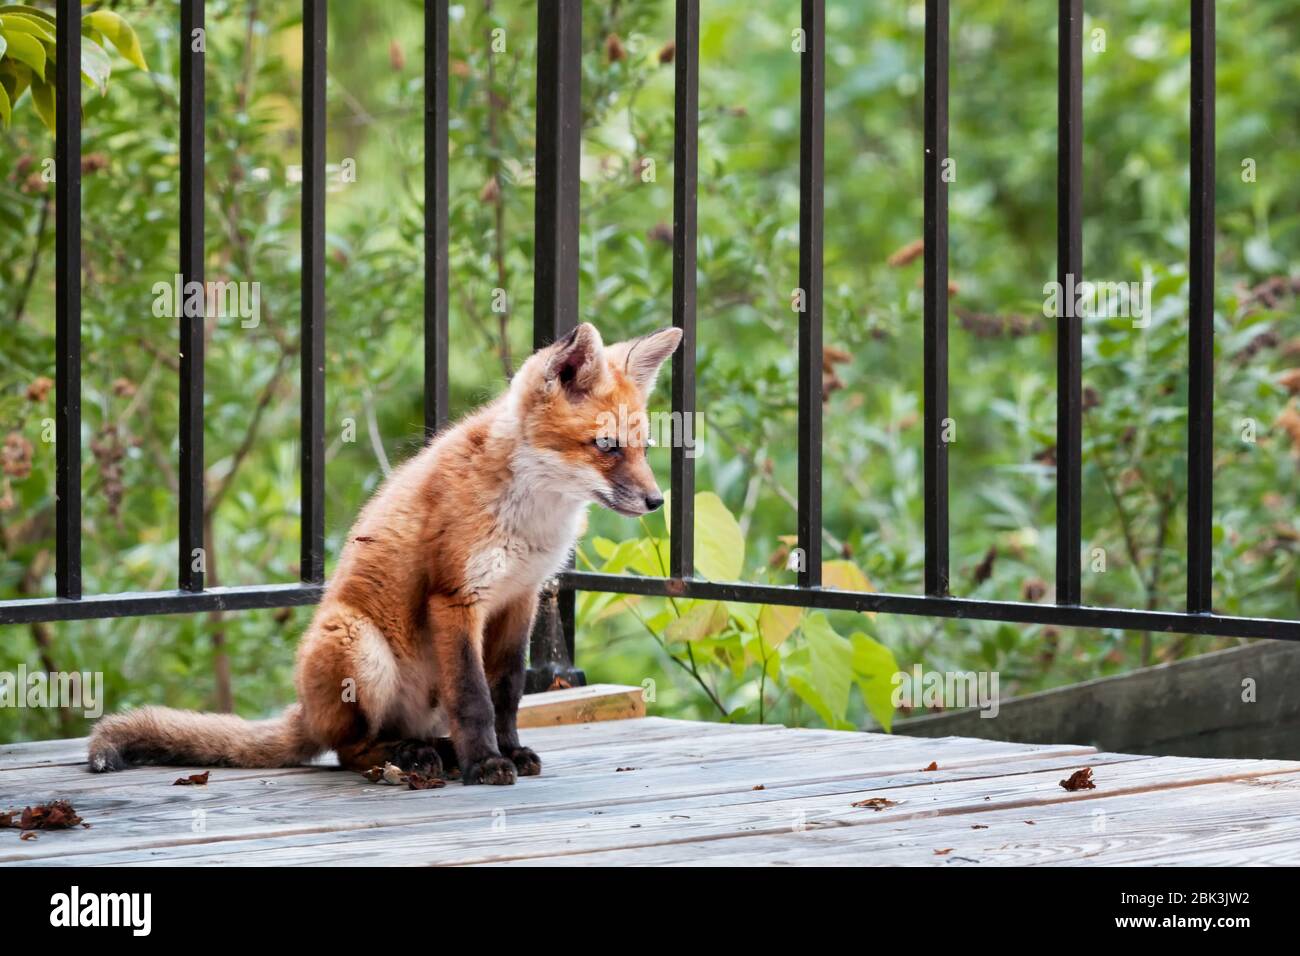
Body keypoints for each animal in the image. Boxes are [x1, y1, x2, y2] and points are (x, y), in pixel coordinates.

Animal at [88, 323, 682, 785]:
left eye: (643, 447)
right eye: (606, 446)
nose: (657, 501)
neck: (534, 515)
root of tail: (306, 711)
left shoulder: (522, 597)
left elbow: (508, 691)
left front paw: (509, 751)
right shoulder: (455, 598)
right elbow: (474, 698)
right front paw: (486, 763)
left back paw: (434, 751)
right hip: (360, 646)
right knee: (349, 750)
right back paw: (410, 757)